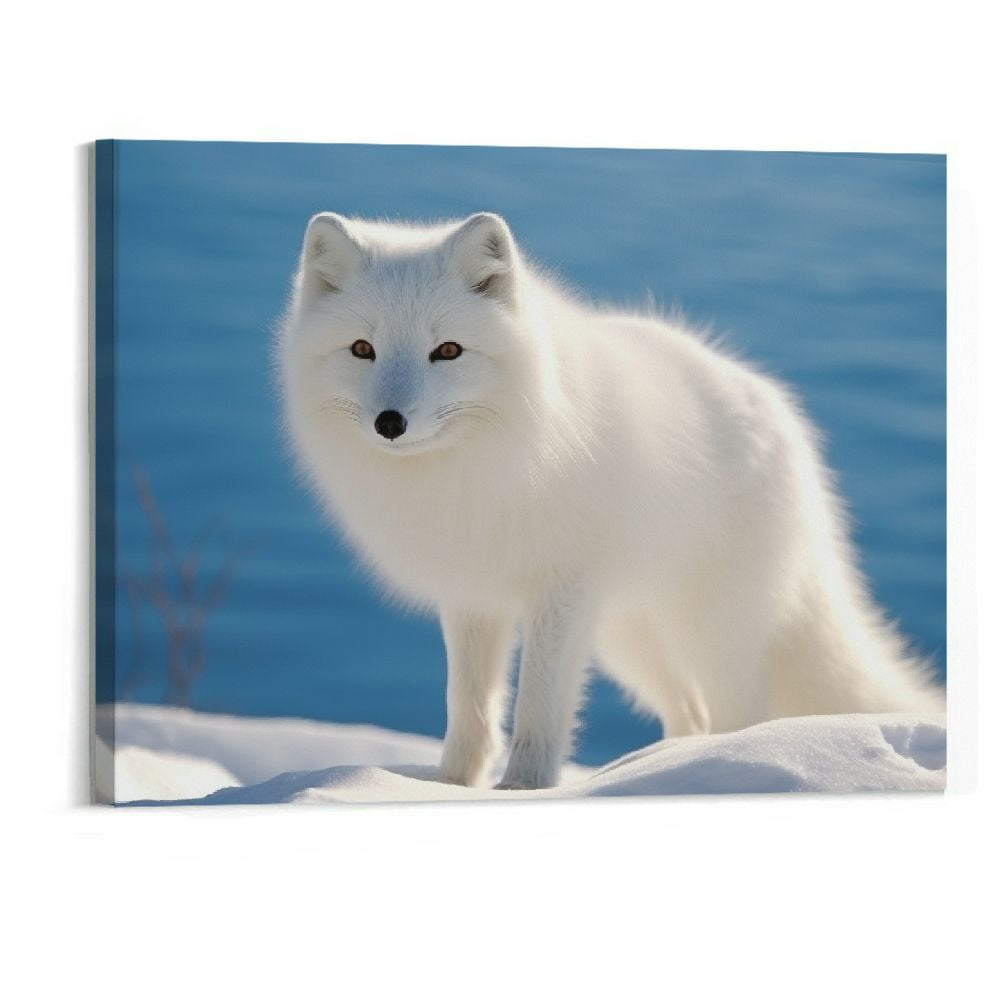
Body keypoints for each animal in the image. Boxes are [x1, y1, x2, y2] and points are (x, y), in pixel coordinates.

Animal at [277, 211, 943, 790]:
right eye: (362, 349)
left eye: (448, 351)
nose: (390, 423)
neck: (475, 468)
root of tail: (783, 420)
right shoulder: (474, 595)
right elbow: (469, 707)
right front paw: (450, 786)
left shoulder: (559, 592)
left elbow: (539, 707)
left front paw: (524, 789)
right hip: (630, 639)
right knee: (688, 714)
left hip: (708, 631)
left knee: (739, 716)